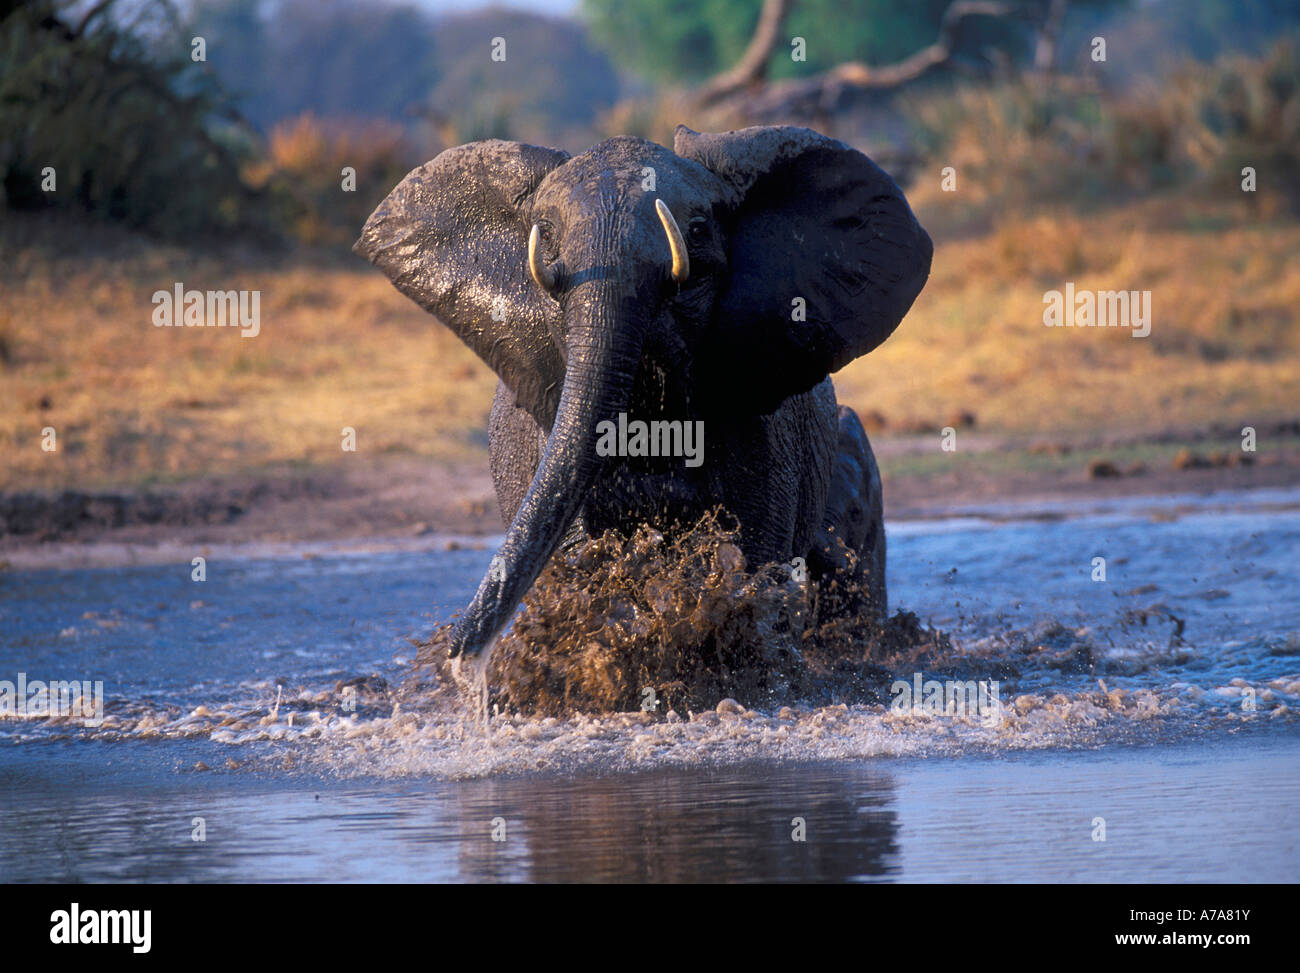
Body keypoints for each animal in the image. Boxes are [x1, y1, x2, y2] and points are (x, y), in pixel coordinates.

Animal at [354, 124, 932, 660]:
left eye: (696, 231)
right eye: (546, 236)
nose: (457, 658)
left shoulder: (764, 437)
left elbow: (752, 560)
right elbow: (578, 558)